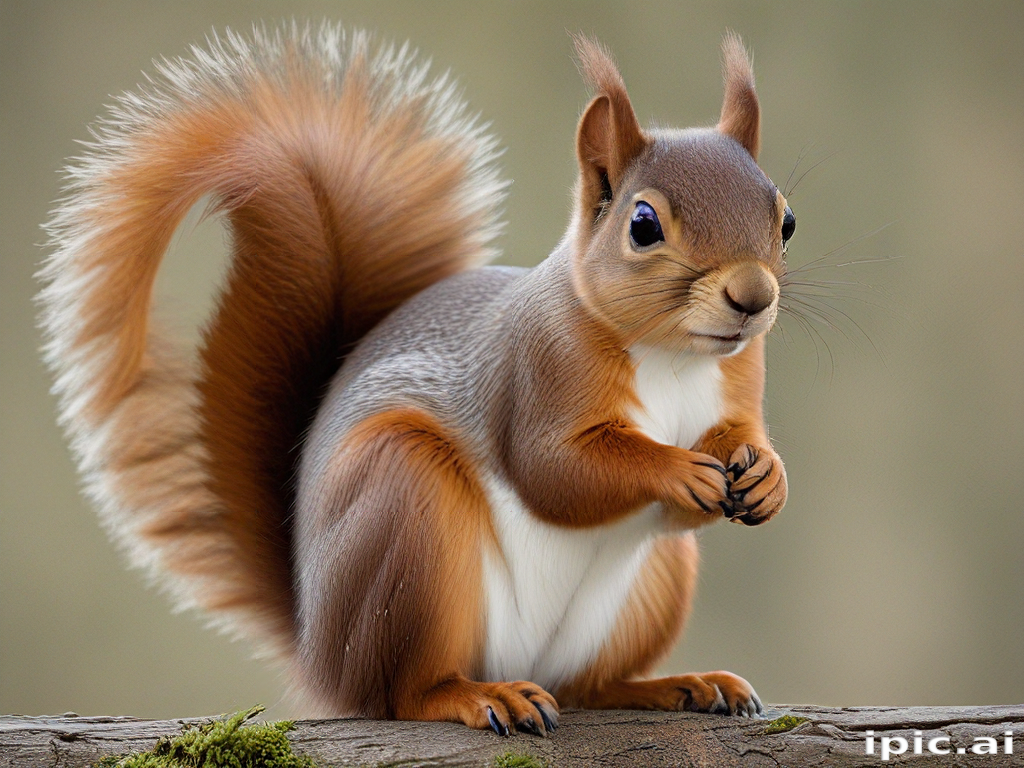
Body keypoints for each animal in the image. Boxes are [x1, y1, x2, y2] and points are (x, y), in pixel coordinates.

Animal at [39, 23, 793, 735]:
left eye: (785, 219)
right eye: (643, 224)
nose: (753, 297)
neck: (673, 356)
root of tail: (318, 651)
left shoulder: (738, 381)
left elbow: (735, 439)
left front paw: (767, 475)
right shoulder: (537, 370)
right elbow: (554, 471)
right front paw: (676, 469)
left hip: (652, 585)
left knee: (589, 686)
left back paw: (678, 686)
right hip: (403, 514)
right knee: (402, 692)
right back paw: (478, 695)